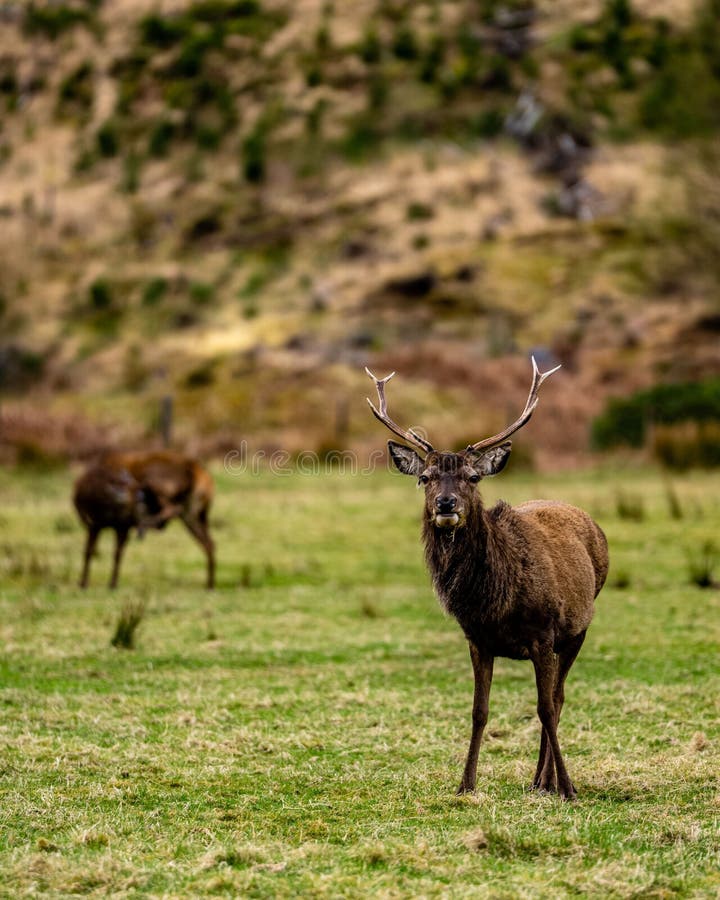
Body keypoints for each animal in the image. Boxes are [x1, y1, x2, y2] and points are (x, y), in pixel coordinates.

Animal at [73, 450, 215, 590]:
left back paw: (146, 526)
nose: (124, 502)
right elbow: (100, 552)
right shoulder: (101, 525)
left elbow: (104, 553)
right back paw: (209, 584)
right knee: (209, 543)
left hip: (158, 484)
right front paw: (102, 583)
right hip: (194, 513)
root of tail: (200, 475)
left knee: (172, 509)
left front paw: (86, 583)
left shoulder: (107, 525)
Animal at [366, 359, 608, 800]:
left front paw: (568, 786)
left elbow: (545, 707)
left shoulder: (543, 634)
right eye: (425, 477)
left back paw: (548, 780)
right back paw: (537, 780)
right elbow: (479, 710)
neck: (496, 602)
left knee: (559, 698)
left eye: (472, 477)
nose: (446, 504)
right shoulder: (477, 638)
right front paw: (466, 783)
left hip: (577, 629)